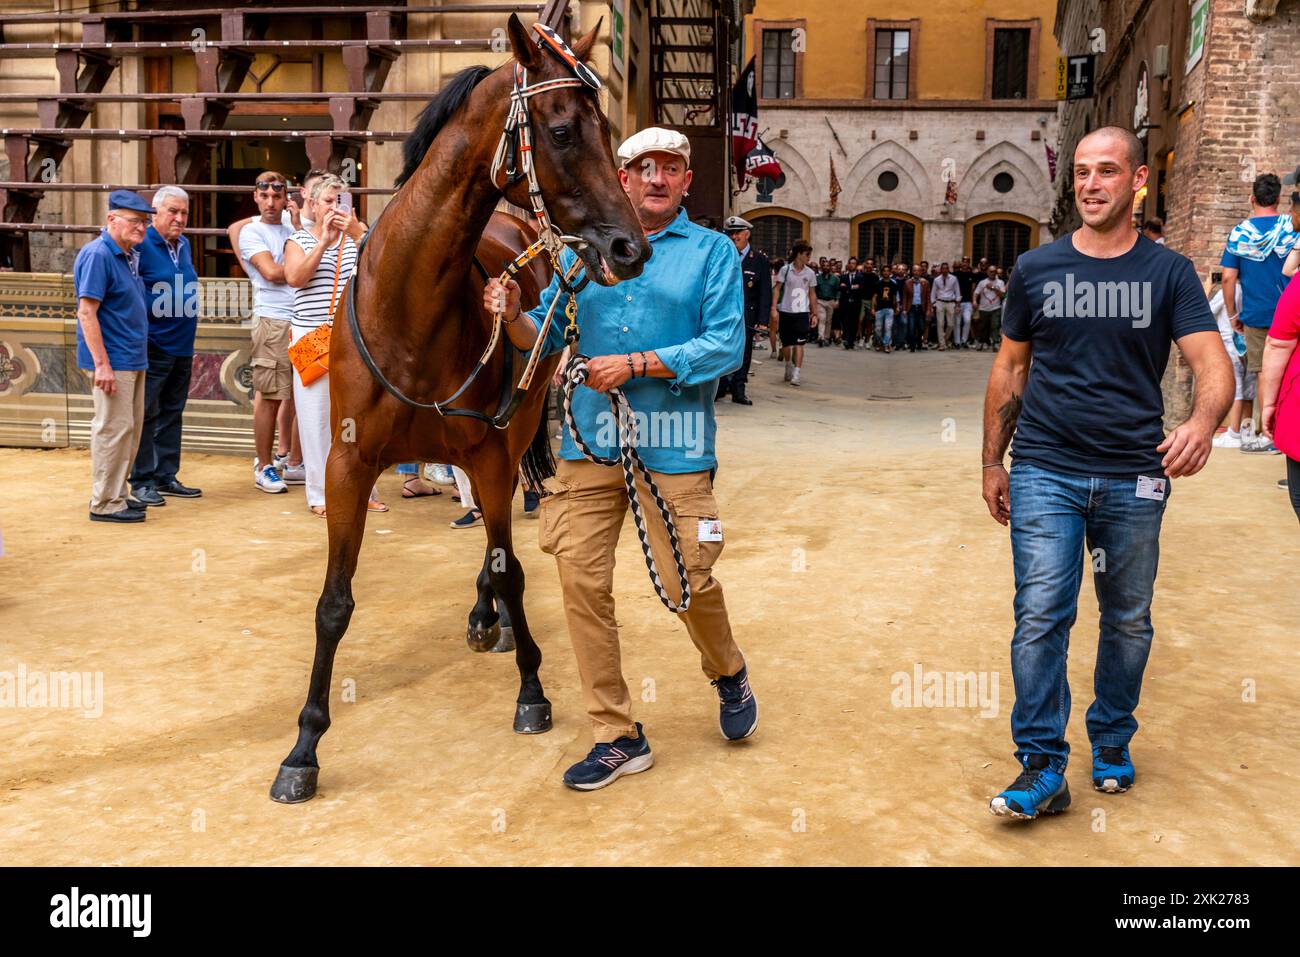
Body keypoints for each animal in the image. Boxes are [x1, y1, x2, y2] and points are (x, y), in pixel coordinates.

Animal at [270, 14, 650, 803]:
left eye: (609, 128)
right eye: (563, 130)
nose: (632, 247)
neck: (411, 314)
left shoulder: (486, 453)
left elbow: (509, 568)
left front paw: (532, 689)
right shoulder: (348, 464)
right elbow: (333, 602)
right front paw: (304, 747)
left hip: (512, 436)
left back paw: (491, 616)